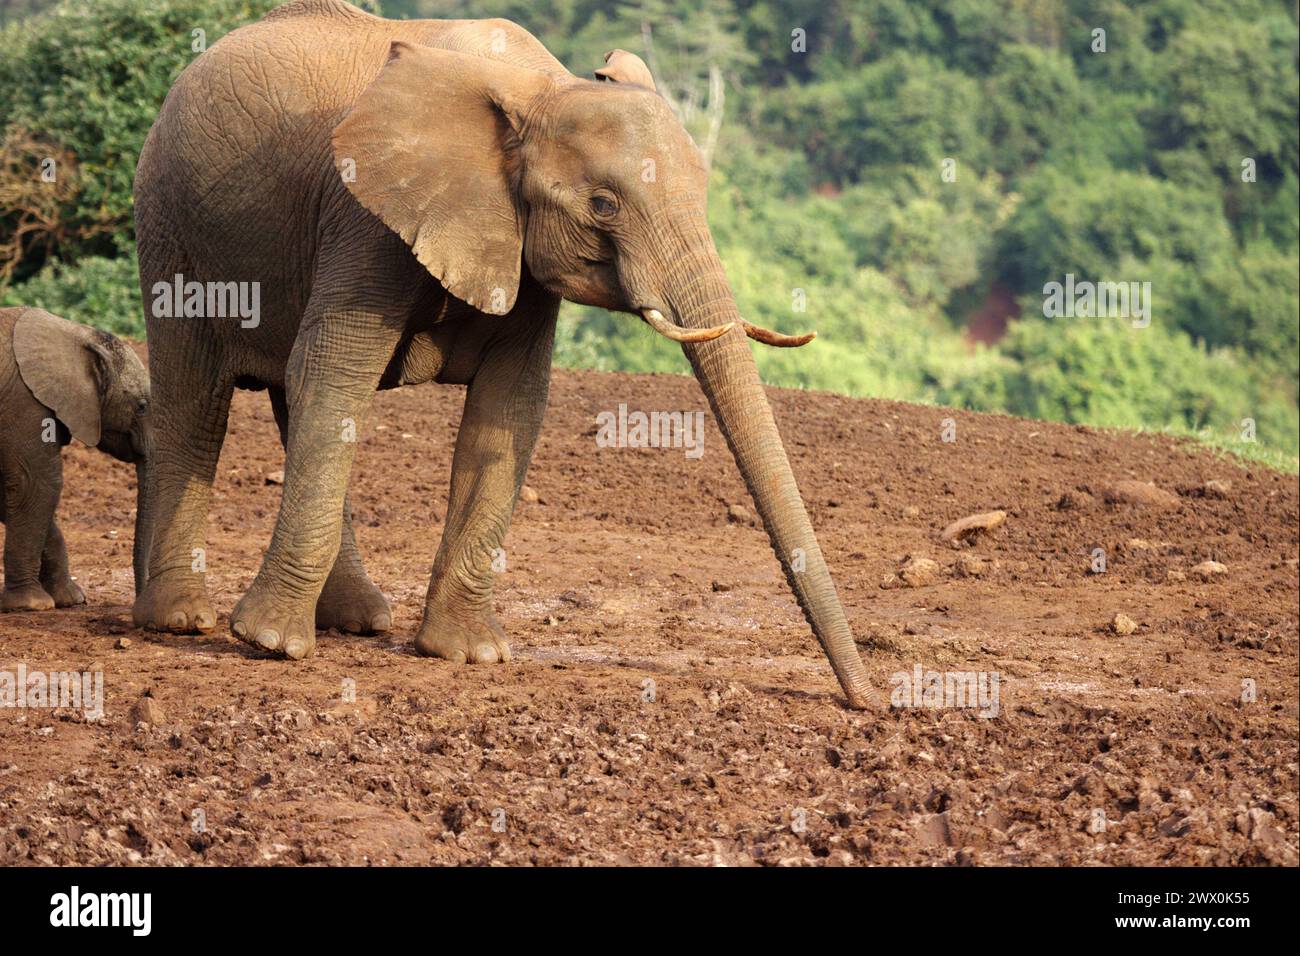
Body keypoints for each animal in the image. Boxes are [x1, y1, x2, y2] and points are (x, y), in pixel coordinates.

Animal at [0, 307, 153, 611]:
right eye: (142, 407)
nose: (137, 604)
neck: (76, 334)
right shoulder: (25, 402)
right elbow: (34, 485)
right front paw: (31, 604)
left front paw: (71, 599)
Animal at [132, 0, 872, 708]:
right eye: (603, 205)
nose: (868, 704)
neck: (543, 88)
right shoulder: (364, 214)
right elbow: (334, 371)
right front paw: (271, 646)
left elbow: (509, 406)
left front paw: (469, 655)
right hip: (170, 223)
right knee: (198, 402)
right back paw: (179, 622)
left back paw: (360, 621)